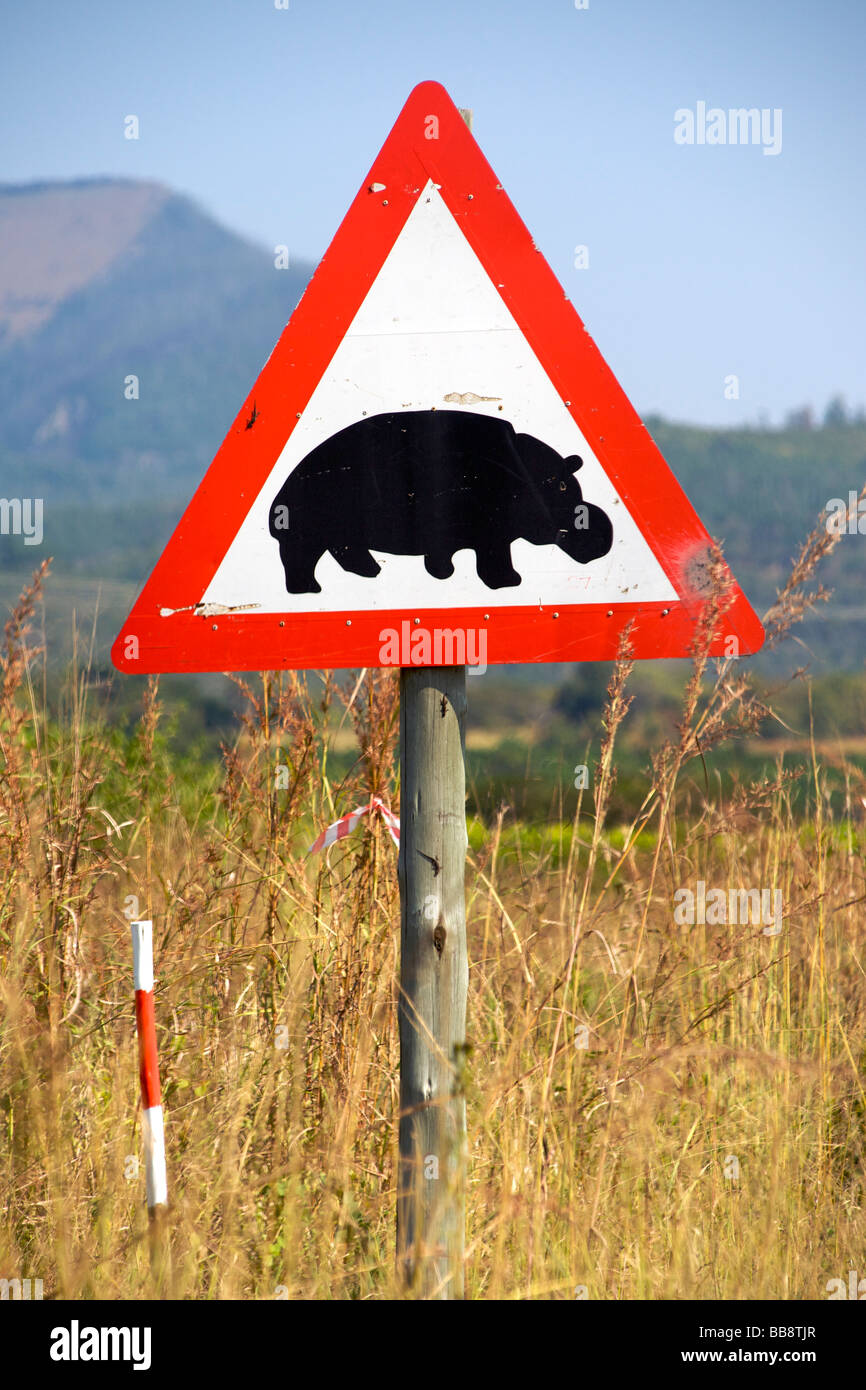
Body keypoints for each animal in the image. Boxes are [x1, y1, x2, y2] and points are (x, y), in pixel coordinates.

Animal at [268, 409, 612, 592]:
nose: (604, 530)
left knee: (344, 554)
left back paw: (369, 574)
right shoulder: (491, 534)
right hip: (309, 534)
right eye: (563, 488)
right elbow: (494, 560)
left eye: (571, 482)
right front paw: (508, 584)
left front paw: (446, 574)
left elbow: (443, 559)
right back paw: (310, 590)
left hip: (337, 534)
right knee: (299, 560)